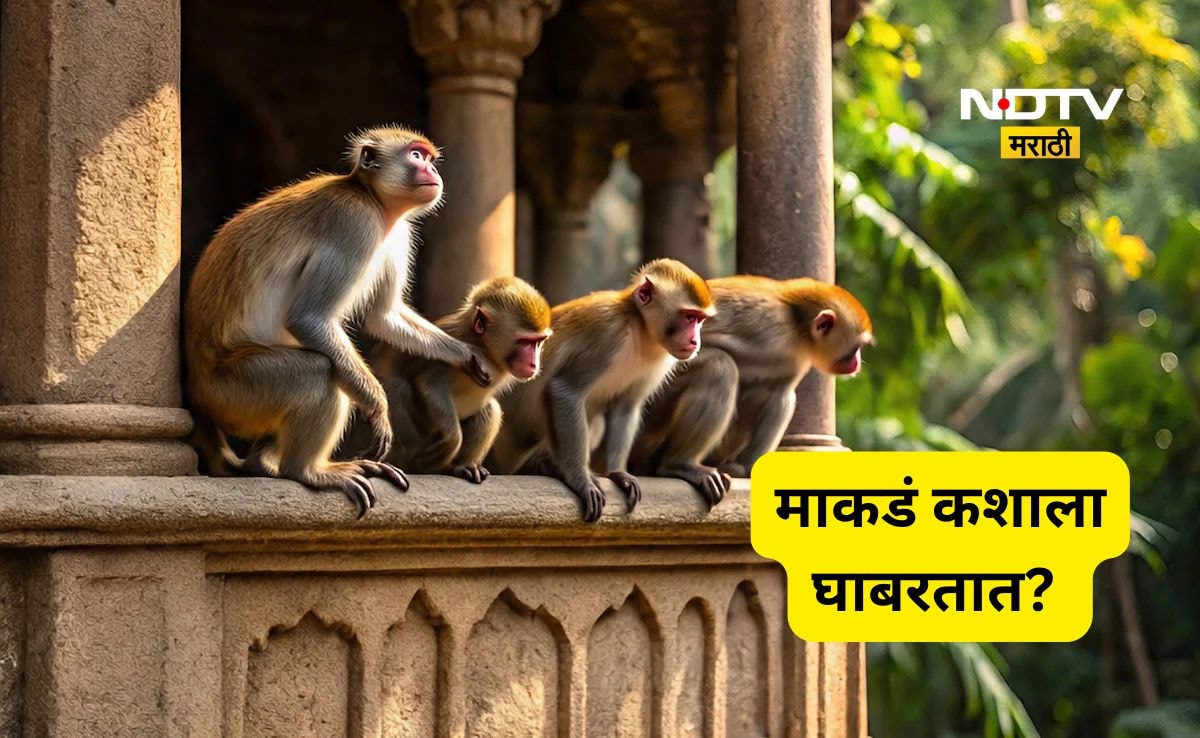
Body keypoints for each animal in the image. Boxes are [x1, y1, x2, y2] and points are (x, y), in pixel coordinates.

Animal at [184, 124, 491, 518]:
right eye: (415, 156)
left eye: (429, 158)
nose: (433, 172)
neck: (371, 198)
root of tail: (196, 390)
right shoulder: (354, 223)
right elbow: (309, 319)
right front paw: (378, 408)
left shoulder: (398, 234)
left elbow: (383, 316)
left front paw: (465, 355)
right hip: (231, 392)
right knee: (317, 371)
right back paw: (306, 471)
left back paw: (264, 464)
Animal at [361, 276, 552, 483]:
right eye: (525, 342)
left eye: (538, 342)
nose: (533, 363)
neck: (486, 348)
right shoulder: (462, 349)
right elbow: (430, 384)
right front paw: (453, 438)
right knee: (396, 387)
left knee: (489, 408)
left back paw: (460, 467)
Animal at [488, 258, 715, 523]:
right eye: (689, 317)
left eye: (699, 320)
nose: (695, 341)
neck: (640, 329)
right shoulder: (608, 333)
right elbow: (565, 389)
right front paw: (580, 479)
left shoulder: (660, 360)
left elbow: (625, 407)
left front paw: (617, 473)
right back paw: (541, 466)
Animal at [631, 276, 873, 505]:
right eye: (855, 347)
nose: (857, 362)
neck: (797, 327)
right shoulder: (767, 325)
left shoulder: (794, 360)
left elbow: (779, 390)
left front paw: (750, 468)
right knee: (720, 366)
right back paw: (679, 465)